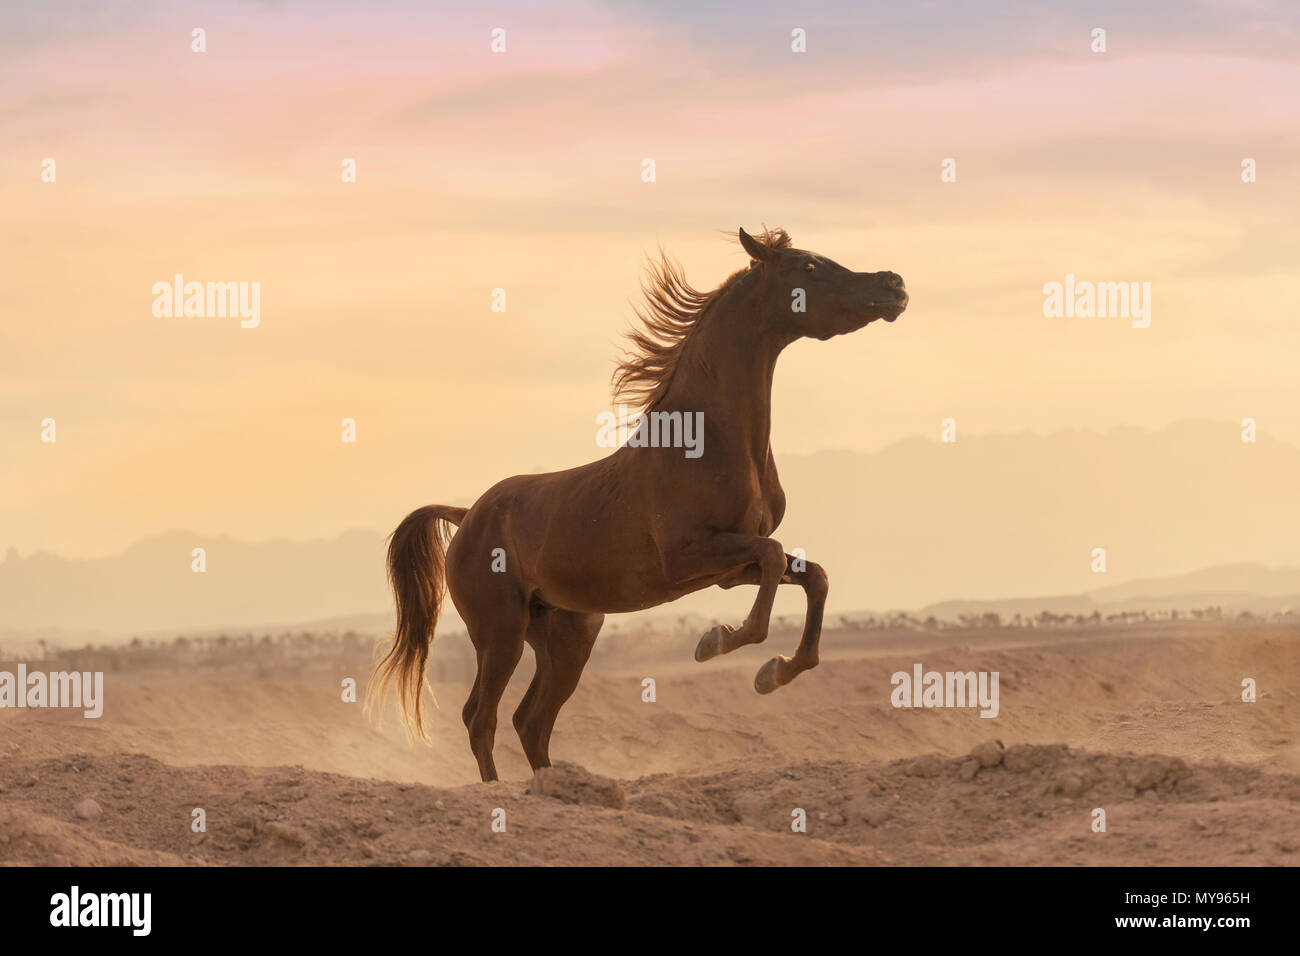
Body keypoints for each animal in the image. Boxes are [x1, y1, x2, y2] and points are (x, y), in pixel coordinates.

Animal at [369, 226, 908, 781]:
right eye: (808, 267)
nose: (894, 283)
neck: (706, 441)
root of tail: (467, 515)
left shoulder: (729, 567)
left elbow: (810, 574)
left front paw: (773, 671)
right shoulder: (689, 555)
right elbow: (776, 560)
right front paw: (716, 643)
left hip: (567, 638)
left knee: (530, 722)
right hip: (500, 632)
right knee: (482, 718)